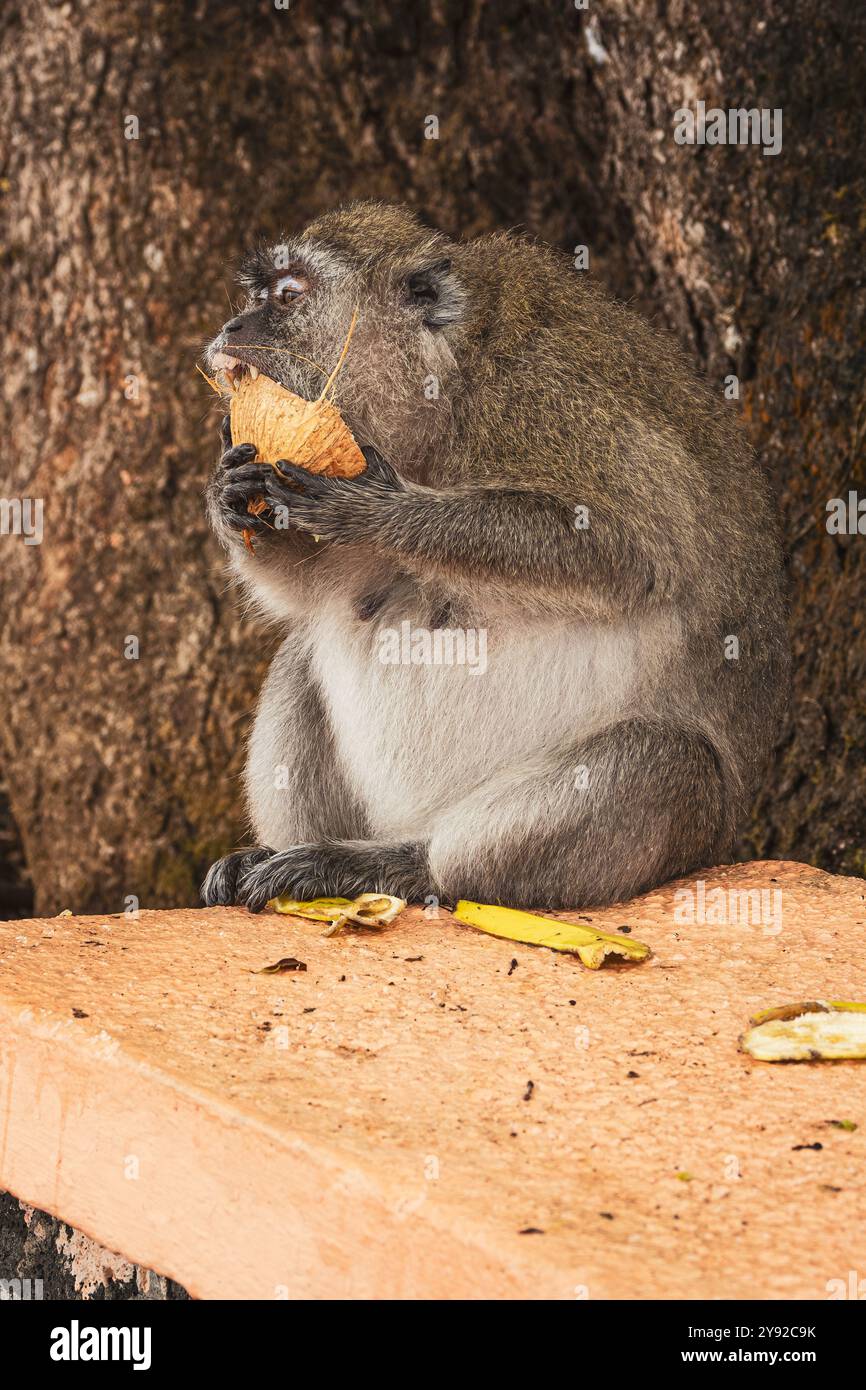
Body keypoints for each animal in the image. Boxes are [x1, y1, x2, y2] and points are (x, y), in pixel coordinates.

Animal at [200, 200, 788, 915]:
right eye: (256, 294)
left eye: (288, 296)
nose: (232, 325)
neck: (446, 396)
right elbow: (308, 592)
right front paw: (228, 492)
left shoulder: (545, 404)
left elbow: (632, 553)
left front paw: (375, 511)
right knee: (298, 655)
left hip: (690, 832)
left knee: (665, 760)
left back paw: (400, 869)